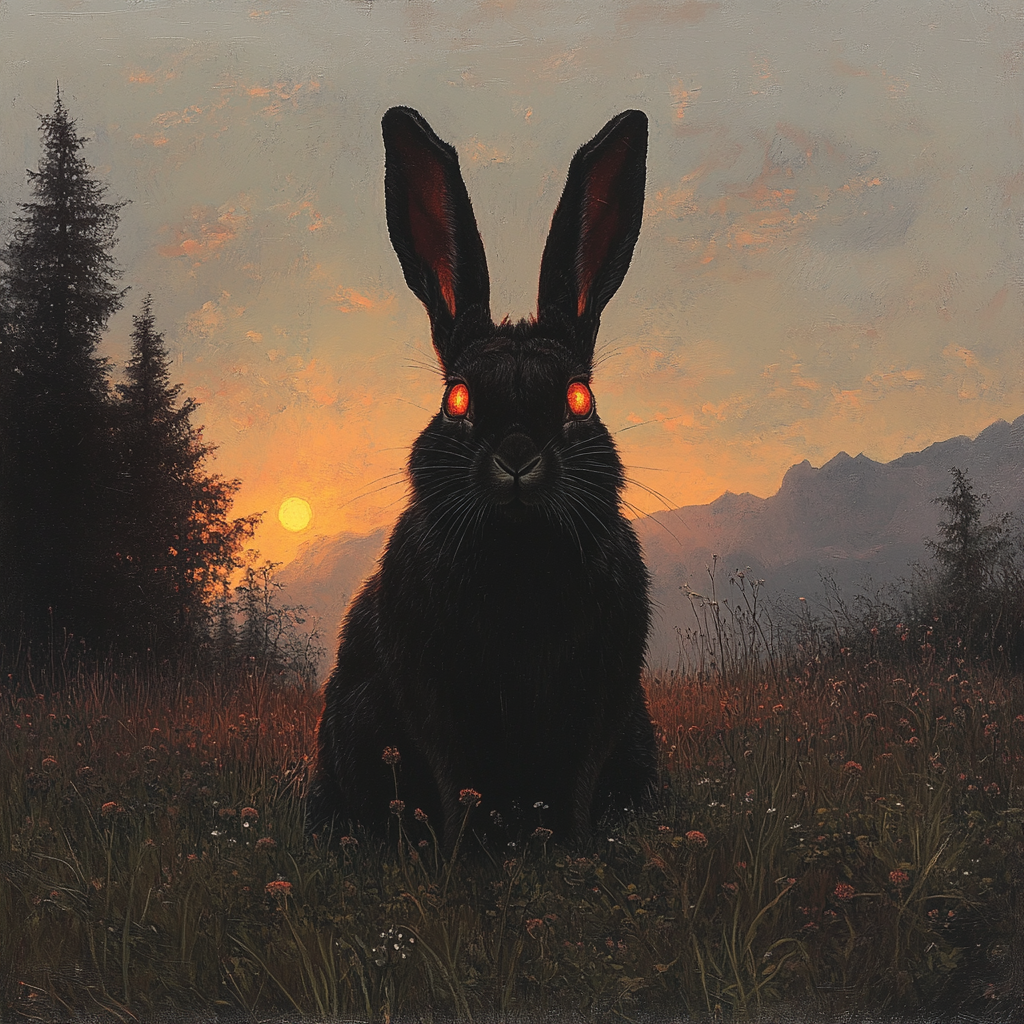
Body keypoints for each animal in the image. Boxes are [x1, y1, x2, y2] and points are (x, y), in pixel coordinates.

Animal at [306, 106, 657, 849]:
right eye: (457, 401)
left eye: (579, 400)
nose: (518, 454)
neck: (517, 560)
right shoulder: (431, 695)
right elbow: (455, 778)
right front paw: (466, 855)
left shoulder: (604, 698)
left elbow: (577, 783)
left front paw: (574, 851)